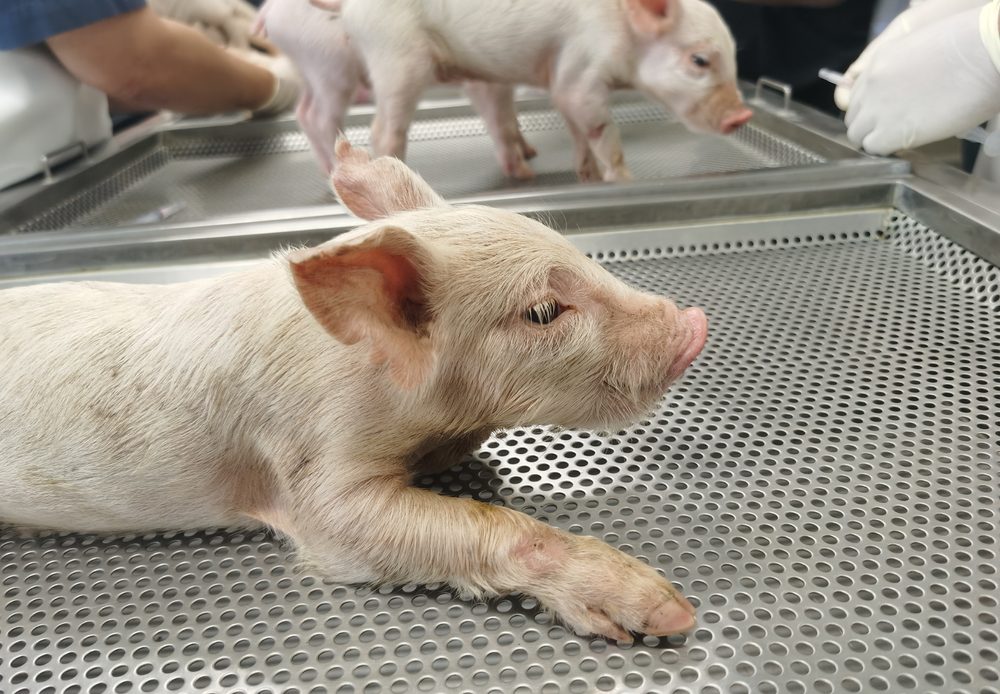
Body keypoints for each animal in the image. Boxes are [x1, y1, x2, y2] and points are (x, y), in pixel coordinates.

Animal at [0, 140, 708, 642]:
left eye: (581, 254)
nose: (694, 325)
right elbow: (383, 526)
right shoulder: (311, 465)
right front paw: (669, 614)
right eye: (542, 312)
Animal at [260, 0, 751, 182]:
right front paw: (623, 180)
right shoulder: (582, 66)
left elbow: (574, 125)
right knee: (366, 125)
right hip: (386, 58)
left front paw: (586, 176)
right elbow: (597, 127)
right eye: (699, 60)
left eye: (734, 56)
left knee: (306, 112)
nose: (742, 116)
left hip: (320, 67)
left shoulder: (561, 75)